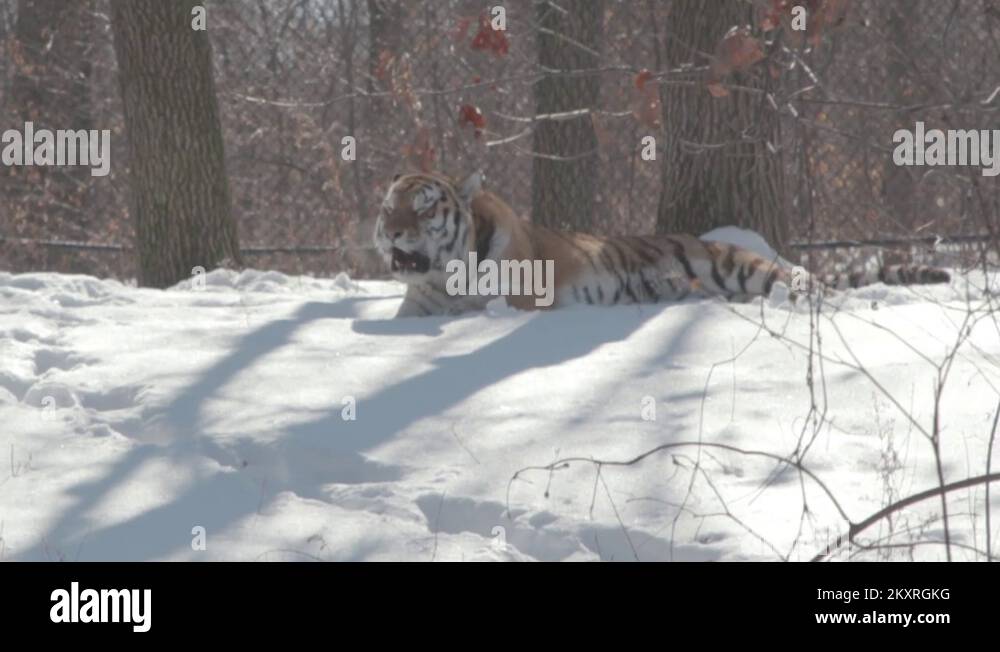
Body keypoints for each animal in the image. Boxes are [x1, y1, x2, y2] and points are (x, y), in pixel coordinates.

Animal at [373, 170, 951, 318]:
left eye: (423, 208)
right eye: (388, 208)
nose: (393, 230)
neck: (446, 273)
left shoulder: (519, 298)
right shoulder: (417, 305)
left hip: (738, 266)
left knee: (806, 284)